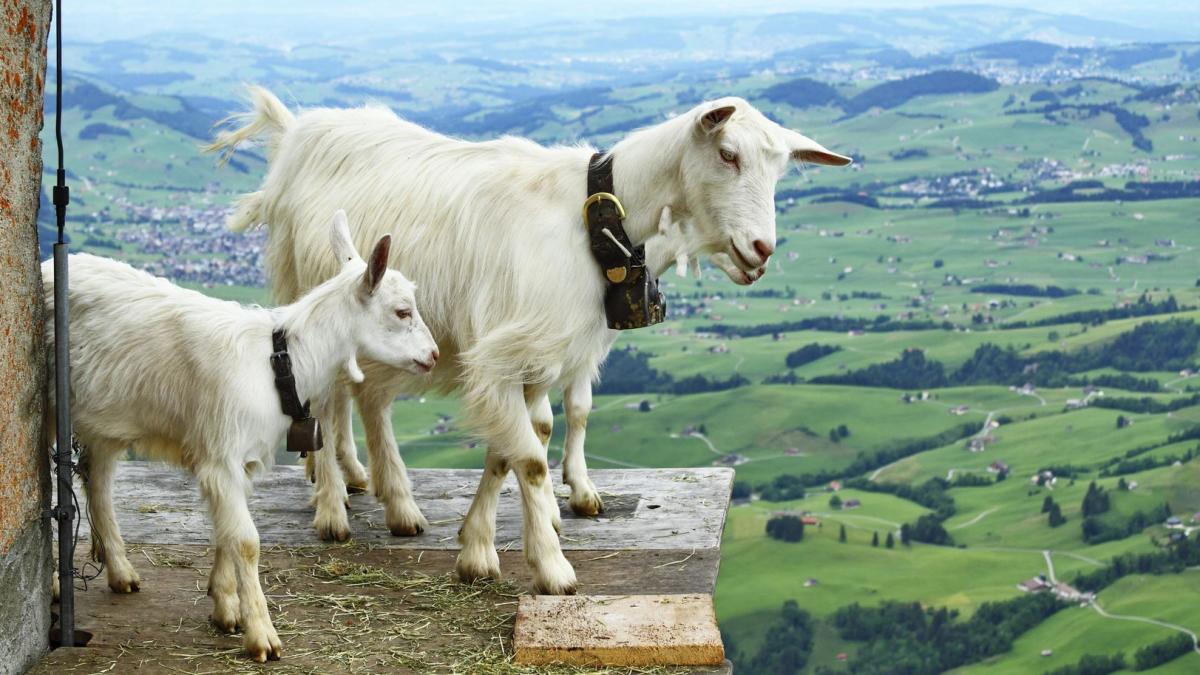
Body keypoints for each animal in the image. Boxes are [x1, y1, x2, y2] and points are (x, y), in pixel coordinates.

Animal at [43, 211, 437, 661]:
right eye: (402, 311)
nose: (434, 355)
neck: (279, 361)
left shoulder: (241, 460)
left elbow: (226, 532)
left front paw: (225, 606)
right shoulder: (221, 454)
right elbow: (246, 540)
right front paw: (262, 635)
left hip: (108, 418)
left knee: (98, 479)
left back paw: (121, 571)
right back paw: (56, 584)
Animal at [208, 86, 851, 594]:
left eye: (779, 171)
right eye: (727, 154)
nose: (761, 250)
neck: (589, 220)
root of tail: (298, 129)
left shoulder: (535, 357)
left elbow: (520, 443)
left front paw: (478, 547)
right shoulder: (501, 355)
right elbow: (532, 461)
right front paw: (551, 565)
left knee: (364, 399)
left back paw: (382, 492)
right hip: (313, 301)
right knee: (328, 399)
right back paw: (333, 505)